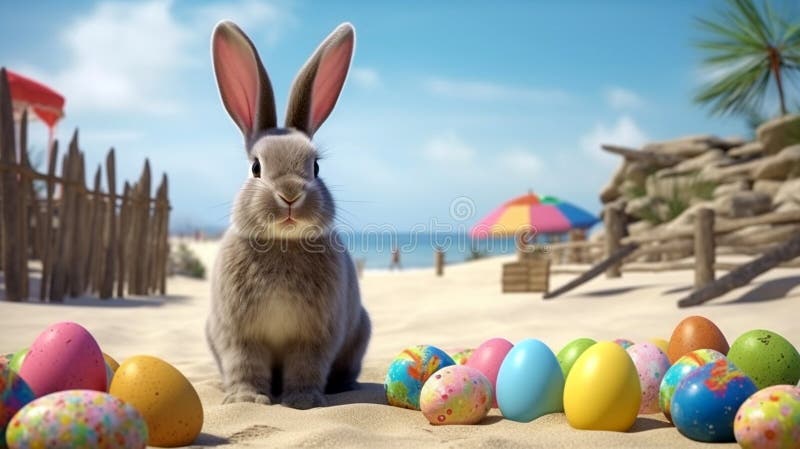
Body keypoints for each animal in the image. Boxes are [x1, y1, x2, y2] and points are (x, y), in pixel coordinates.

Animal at [206, 20, 371, 410]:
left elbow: (306, 365)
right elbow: (245, 364)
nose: (290, 195)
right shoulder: (239, 336)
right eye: (255, 167)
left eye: (315, 166)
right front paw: (248, 400)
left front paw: (302, 401)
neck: (283, 241)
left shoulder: (313, 337)